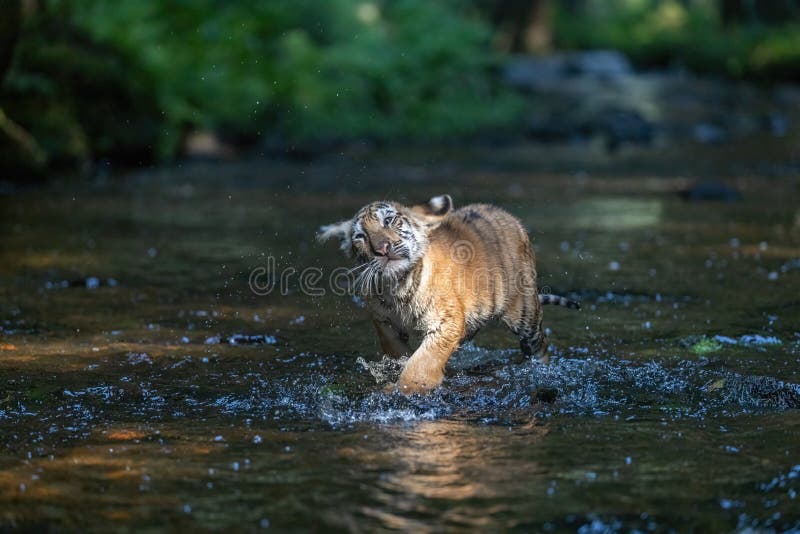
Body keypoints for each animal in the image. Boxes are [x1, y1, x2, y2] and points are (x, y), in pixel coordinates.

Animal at [317, 195, 579, 394]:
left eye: (389, 221)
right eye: (360, 237)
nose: (382, 249)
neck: (396, 287)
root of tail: (508, 216)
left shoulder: (447, 320)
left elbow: (421, 362)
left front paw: (404, 389)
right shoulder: (383, 322)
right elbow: (398, 351)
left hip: (525, 315)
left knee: (540, 346)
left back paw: (541, 369)